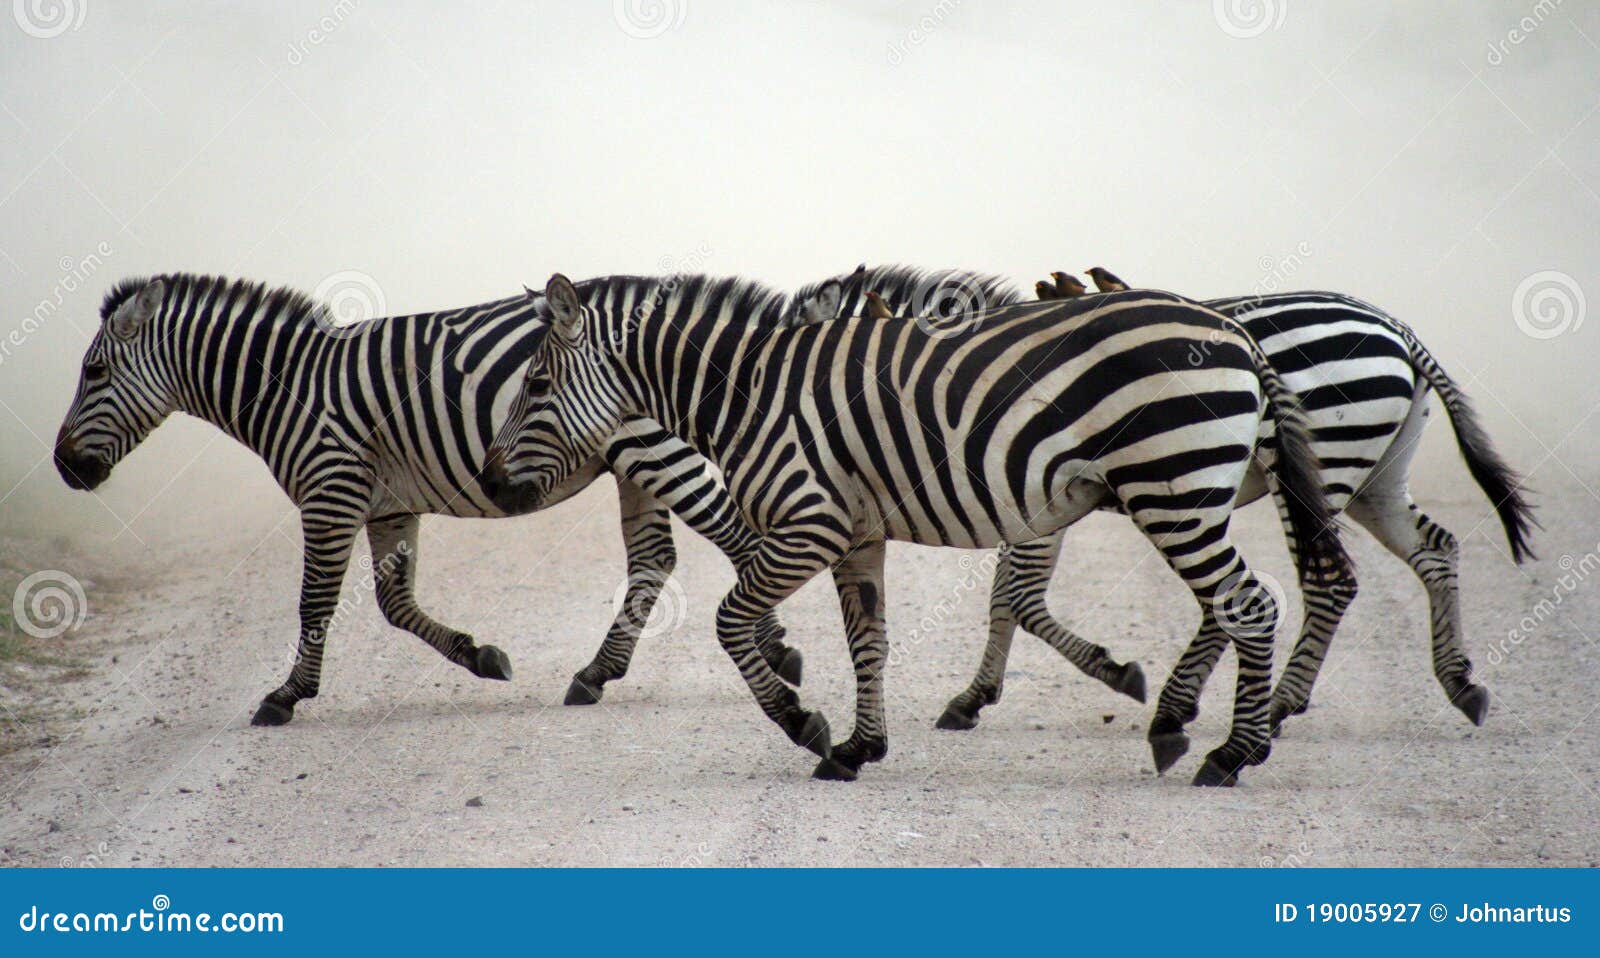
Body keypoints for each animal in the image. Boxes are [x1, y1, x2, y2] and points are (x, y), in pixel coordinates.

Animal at [53, 273, 802, 726]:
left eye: (94, 372)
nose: (63, 466)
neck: (285, 387)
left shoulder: (330, 491)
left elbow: (315, 602)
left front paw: (287, 696)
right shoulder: (387, 507)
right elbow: (394, 605)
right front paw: (482, 656)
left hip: (650, 449)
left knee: (735, 541)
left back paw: (775, 653)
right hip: (633, 463)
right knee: (655, 560)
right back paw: (597, 673)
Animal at [484, 270, 1350, 786]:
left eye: (536, 383)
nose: (491, 480)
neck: (748, 390)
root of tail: (1237, 333)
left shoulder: (810, 523)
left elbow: (732, 622)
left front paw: (803, 724)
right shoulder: (856, 533)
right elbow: (868, 640)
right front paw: (858, 748)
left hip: (1174, 484)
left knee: (1249, 606)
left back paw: (1229, 753)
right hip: (1188, 491)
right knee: (1243, 604)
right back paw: (1216, 734)